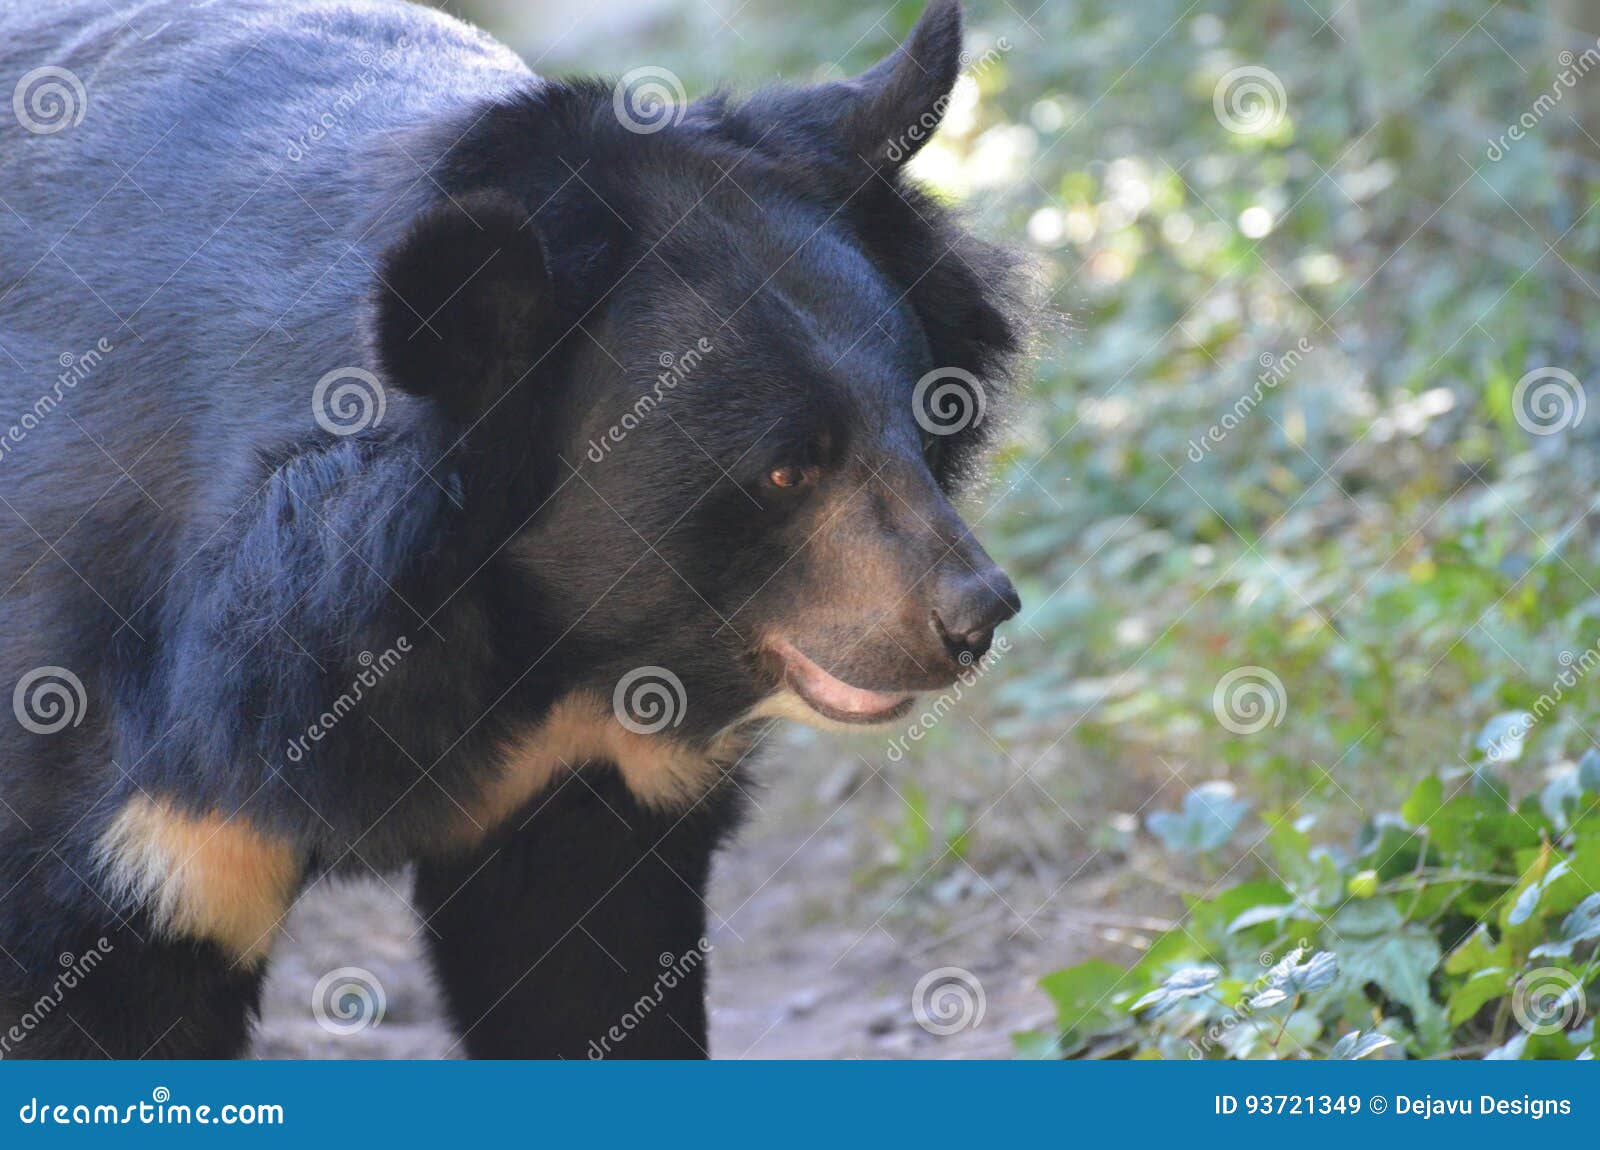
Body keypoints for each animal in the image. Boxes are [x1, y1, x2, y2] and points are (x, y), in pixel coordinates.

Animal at [0, 0, 1026, 1058]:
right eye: (788, 467)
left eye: (922, 421)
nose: (975, 617)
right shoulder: (134, 776)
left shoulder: (584, 787)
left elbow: (587, 984)